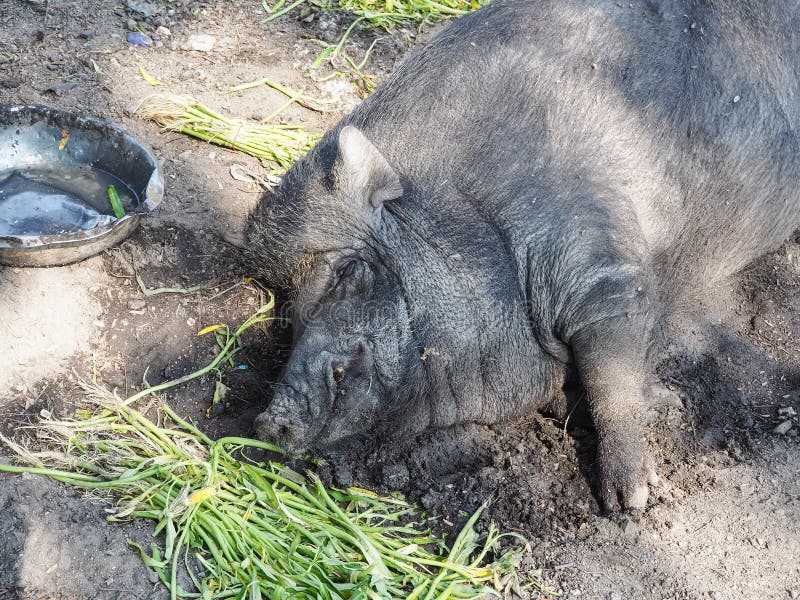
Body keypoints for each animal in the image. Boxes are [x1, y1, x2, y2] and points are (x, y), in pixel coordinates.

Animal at [246, 0, 800, 510]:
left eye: (346, 270)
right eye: (289, 313)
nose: (269, 421)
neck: (471, 211)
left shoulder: (604, 269)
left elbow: (612, 378)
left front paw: (631, 499)